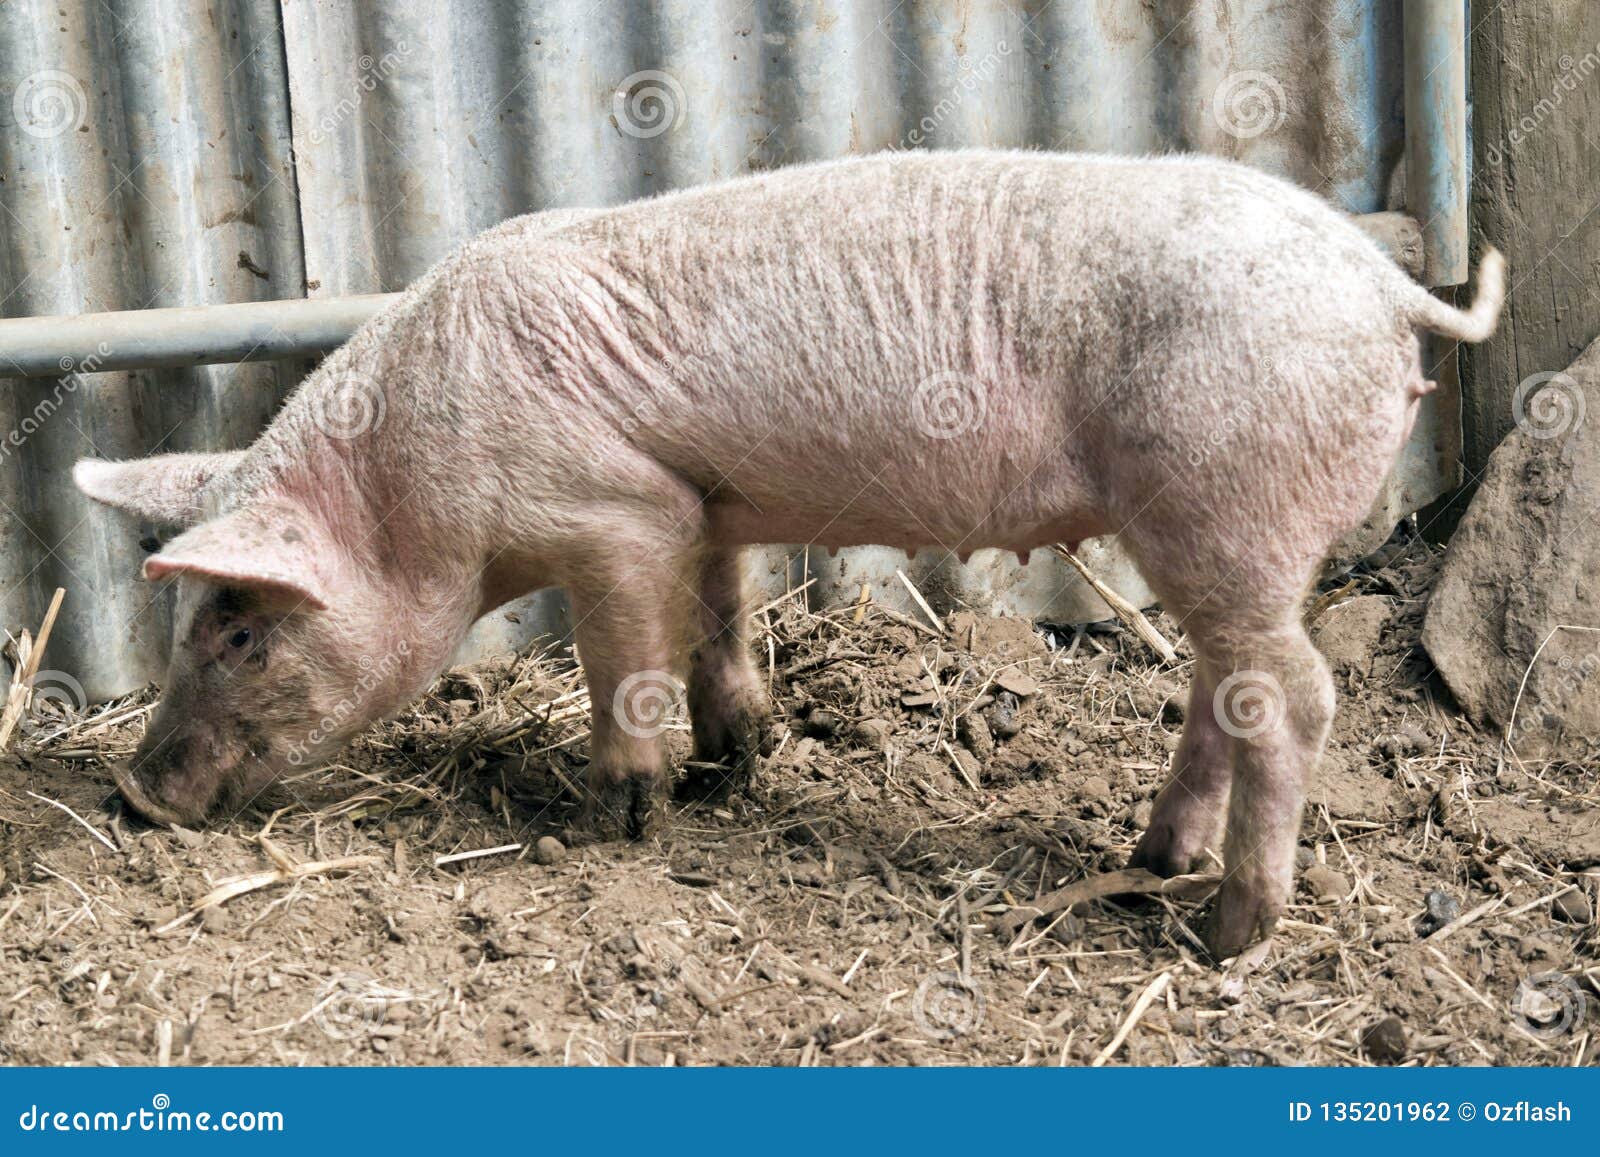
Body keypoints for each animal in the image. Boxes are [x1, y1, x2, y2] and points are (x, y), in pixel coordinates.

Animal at [74, 149, 1503, 957]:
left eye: (239, 628)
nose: (134, 792)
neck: (412, 491)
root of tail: (1389, 284)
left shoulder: (615, 513)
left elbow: (622, 663)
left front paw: (614, 818)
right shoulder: (705, 504)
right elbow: (717, 617)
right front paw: (735, 763)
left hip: (1228, 495)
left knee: (1294, 694)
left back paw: (1219, 936)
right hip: (1222, 532)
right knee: (1225, 684)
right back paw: (1153, 861)